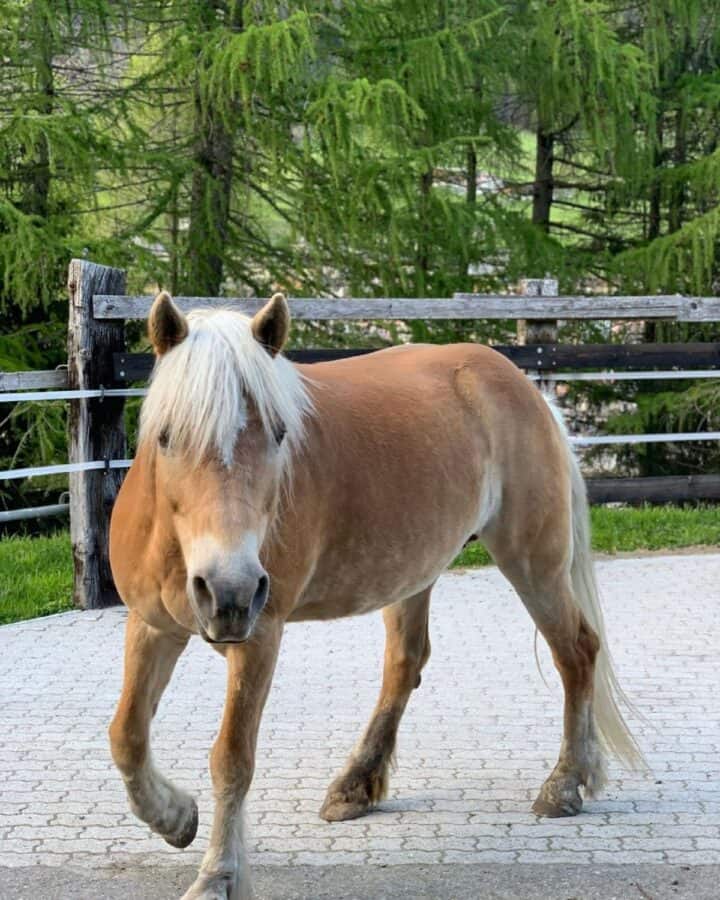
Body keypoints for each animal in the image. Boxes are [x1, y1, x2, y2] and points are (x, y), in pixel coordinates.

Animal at [108, 291, 644, 899]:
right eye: (167, 436)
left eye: (279, 434)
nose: (231, 591)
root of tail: (524, 388)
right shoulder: (152, 625)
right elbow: (127, 736)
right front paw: (175, 819)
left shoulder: (259, 637)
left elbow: (232, 758)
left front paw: (218, 876)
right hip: (412, 574)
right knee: (405, 664)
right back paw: (356, 785)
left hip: (533, 563)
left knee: (576, 651)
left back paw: (565, 784)